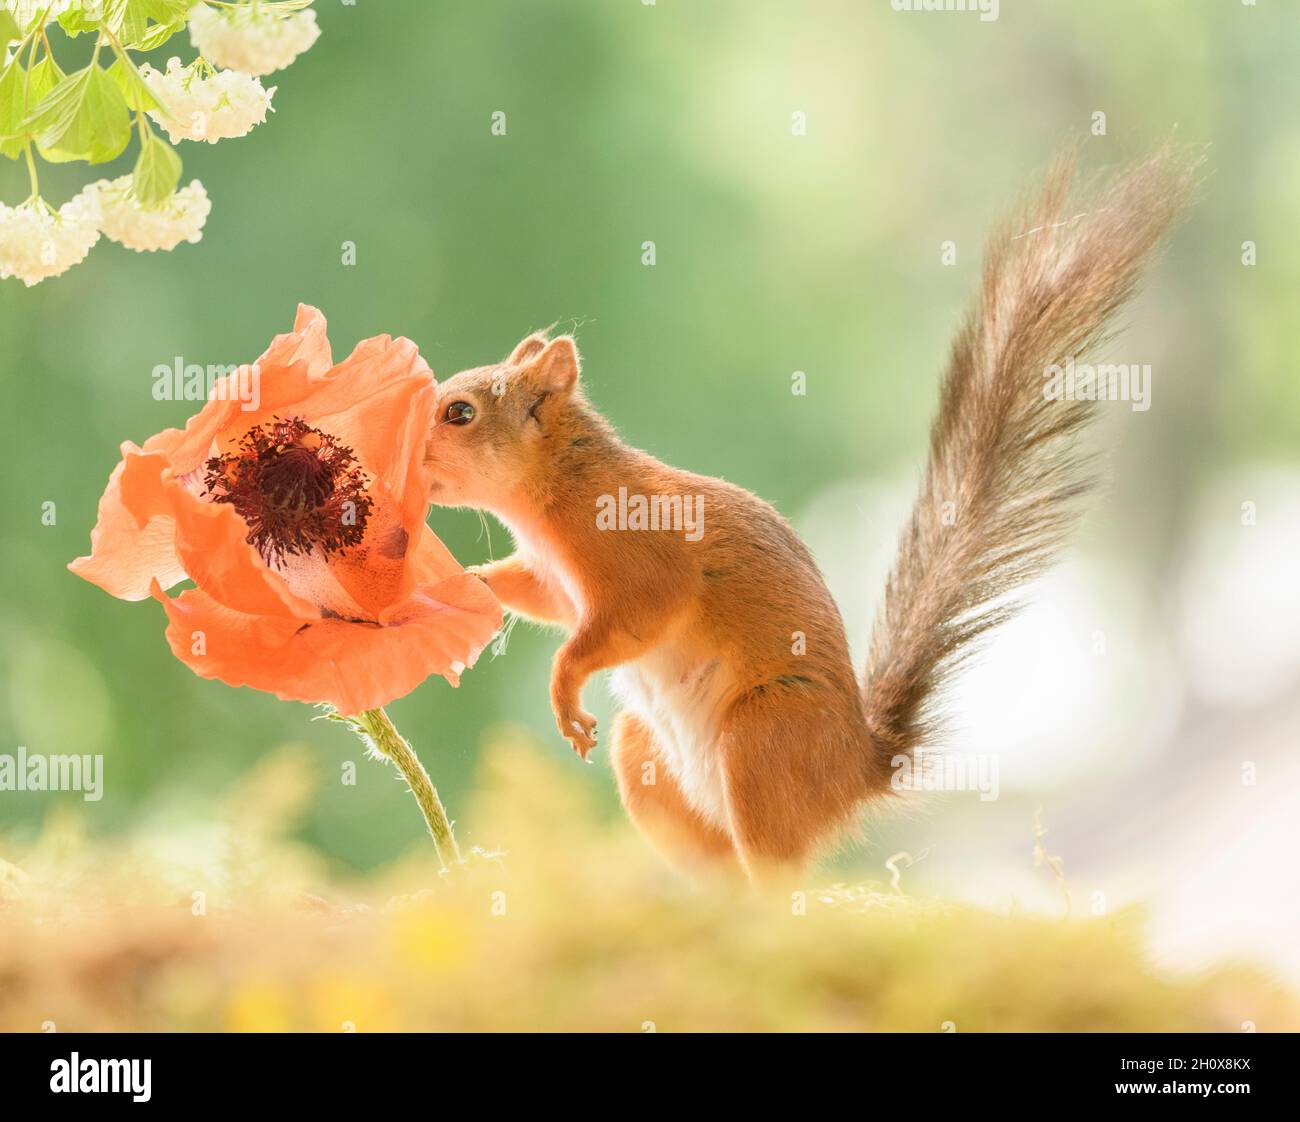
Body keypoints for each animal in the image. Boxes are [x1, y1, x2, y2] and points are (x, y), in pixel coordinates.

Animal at [425, 146, 1195, 884]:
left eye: (459, 412)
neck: (552, 494)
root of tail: (856, 771)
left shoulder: (635, 547)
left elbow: (640, 610)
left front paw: (563, 685)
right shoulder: (556, 575)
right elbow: (541, 597)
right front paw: (461, 585)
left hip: (763, 742)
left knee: (778, 872)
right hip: (649, 757)